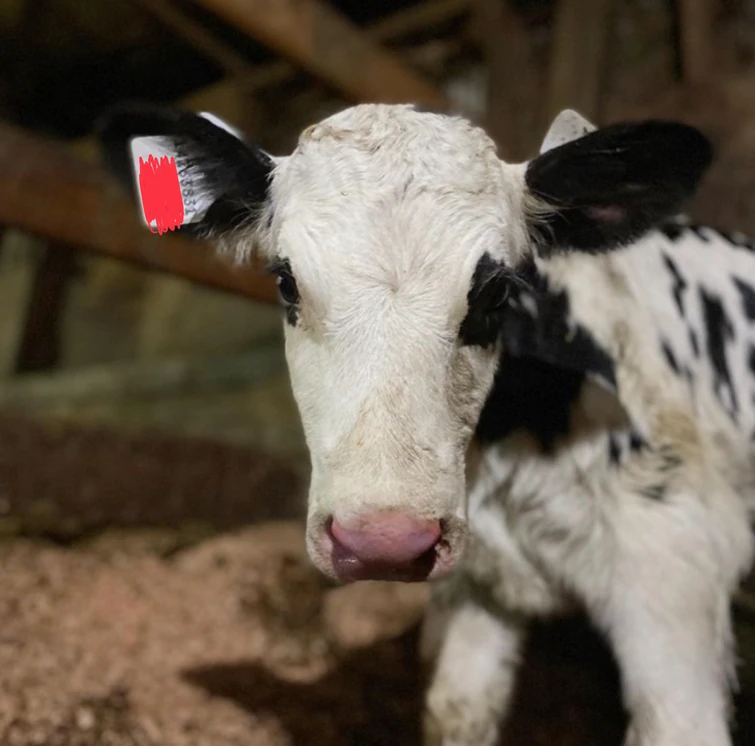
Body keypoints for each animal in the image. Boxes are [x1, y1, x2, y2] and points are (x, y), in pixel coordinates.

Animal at [98, 102, 755, 746]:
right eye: (286, 282)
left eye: (497, 293)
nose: (384, 541)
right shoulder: (478, 590)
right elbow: (456, 712)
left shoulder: (672, 580)